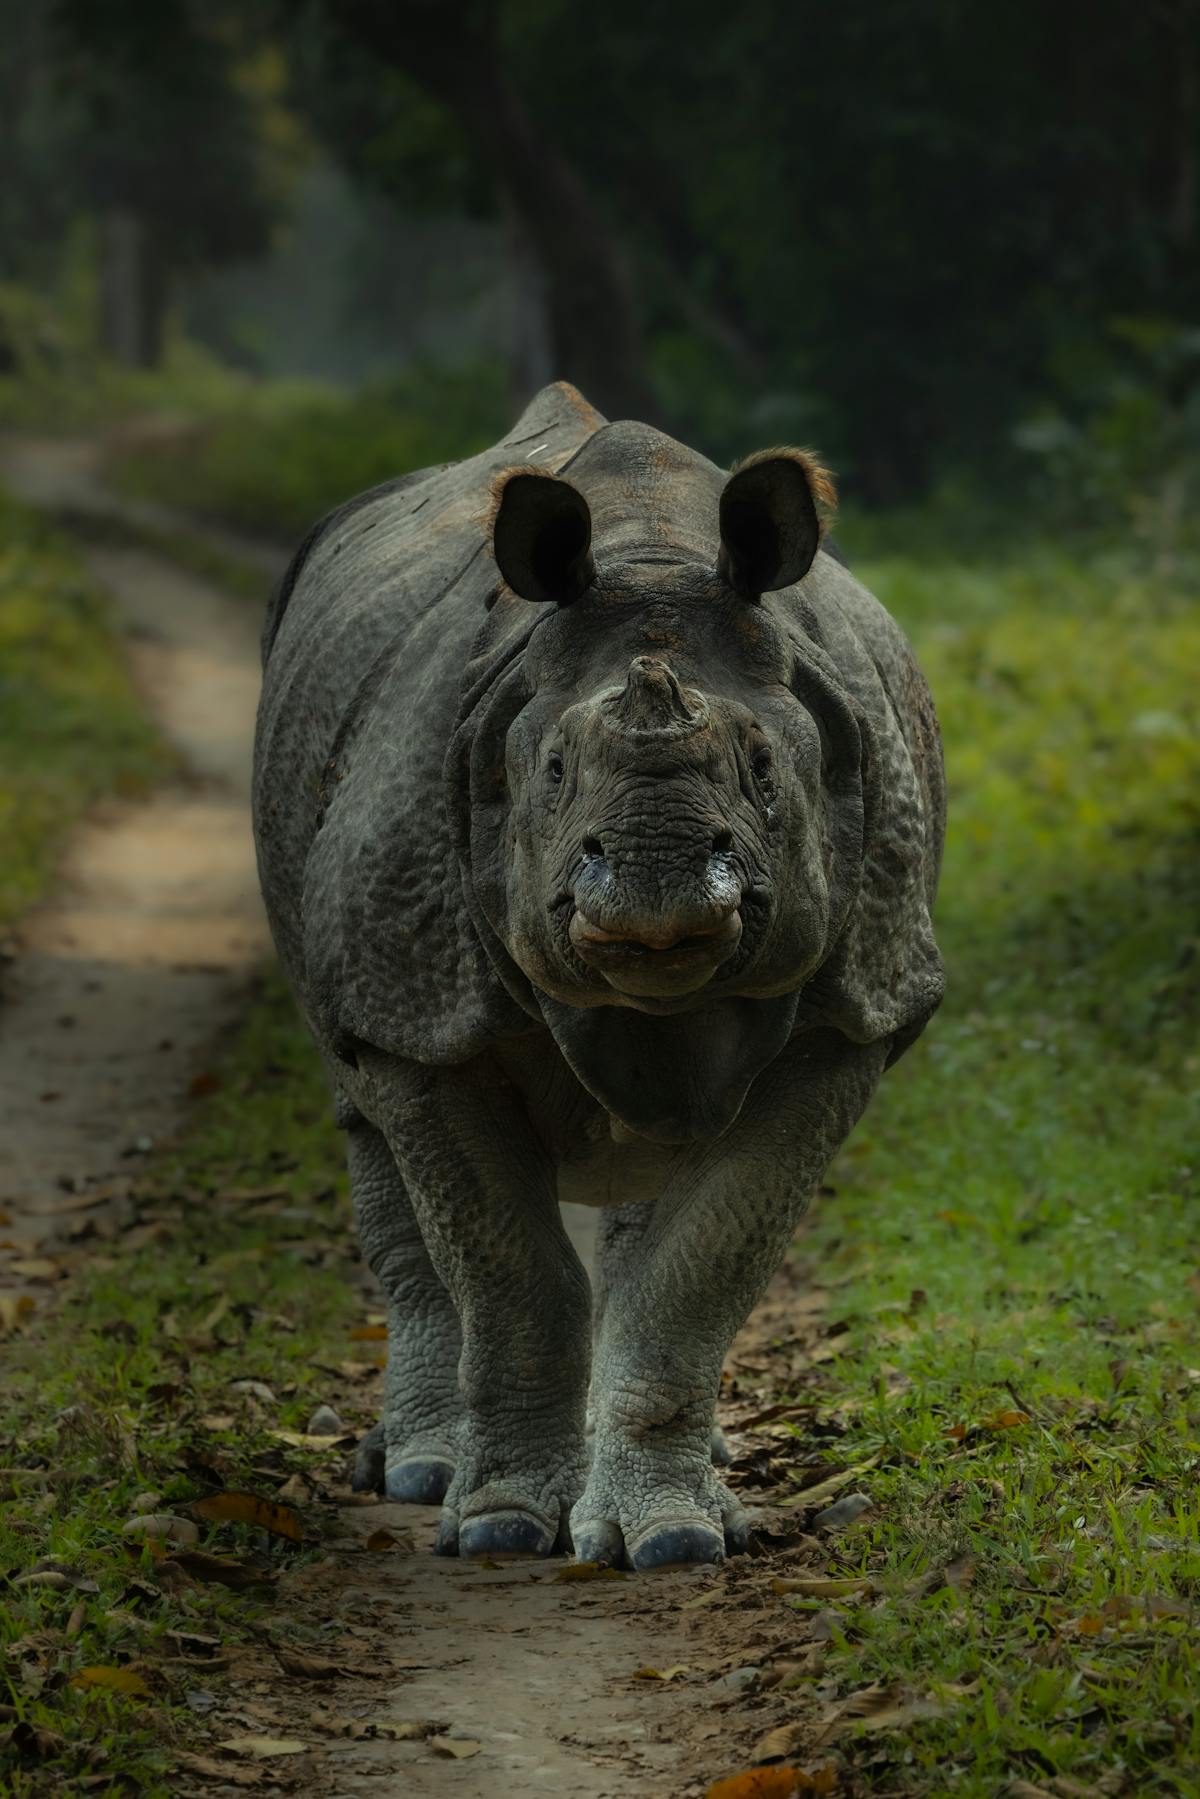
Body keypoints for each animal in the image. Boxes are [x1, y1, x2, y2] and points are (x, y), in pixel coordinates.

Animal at [253, 381, 945, 1570]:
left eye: (765, 769)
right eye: (553, 769)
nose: (653, 885)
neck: (653, 553)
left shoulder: (854, 1013)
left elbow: (702, 1269)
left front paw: (671, 1537)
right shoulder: (420, 1005)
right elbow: (510, 1276)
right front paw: (500, 1525)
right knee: (367, 1114)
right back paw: (420, 1471)